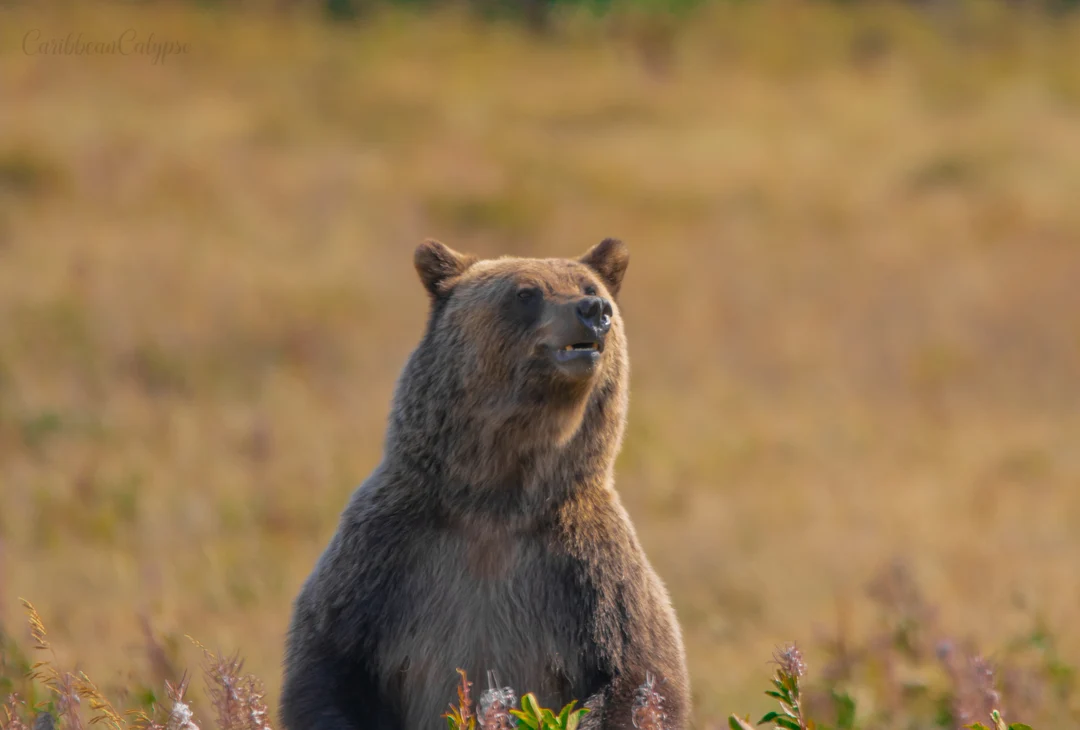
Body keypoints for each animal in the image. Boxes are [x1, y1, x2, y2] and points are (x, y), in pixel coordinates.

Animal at [279, 238, 690, 730]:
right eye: (526, 292)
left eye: (589, 285)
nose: (594, 310)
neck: (497, 501)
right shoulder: (384, 559)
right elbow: (329, 664)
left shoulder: (592, 575)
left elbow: (641, 676)